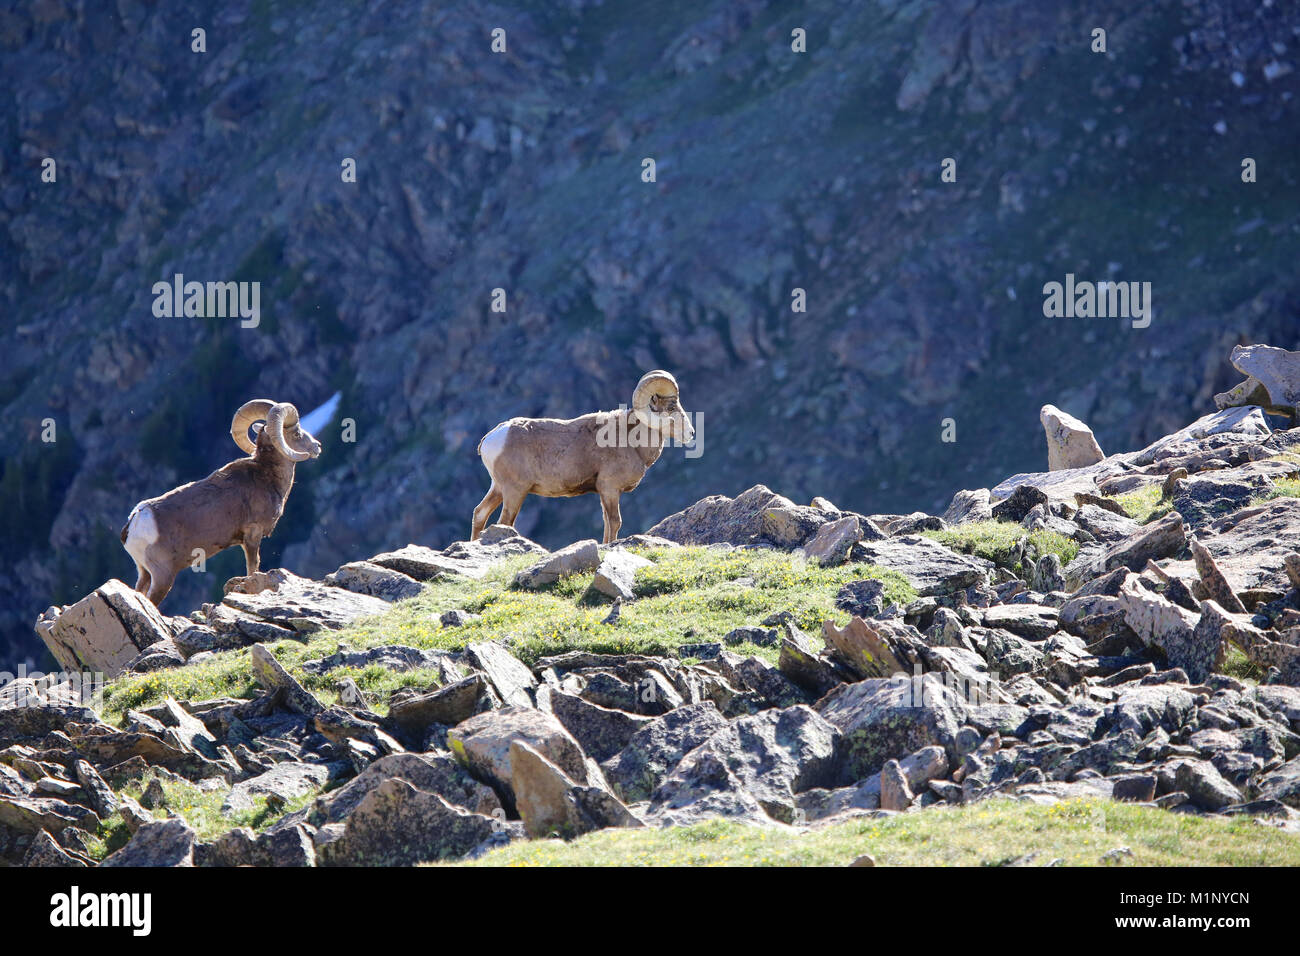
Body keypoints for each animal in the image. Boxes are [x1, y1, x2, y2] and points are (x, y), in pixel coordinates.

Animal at [120, 400, 322, 607]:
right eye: (297, 433)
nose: (317, 446)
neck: (267, 476)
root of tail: (135, 520)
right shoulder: (252, 534)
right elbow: (253, 566)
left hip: (144, 573)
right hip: (163, 576)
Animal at [471, 370, 694, 545]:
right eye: (671, 408)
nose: (691, 433)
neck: (633, 443)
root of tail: (492, 438)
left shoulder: (604, 492)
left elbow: (607, 522)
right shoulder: (610, 488)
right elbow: (615, 522)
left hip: (498, 488)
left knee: (480, 513)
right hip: (515, 491)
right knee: (505, 522)